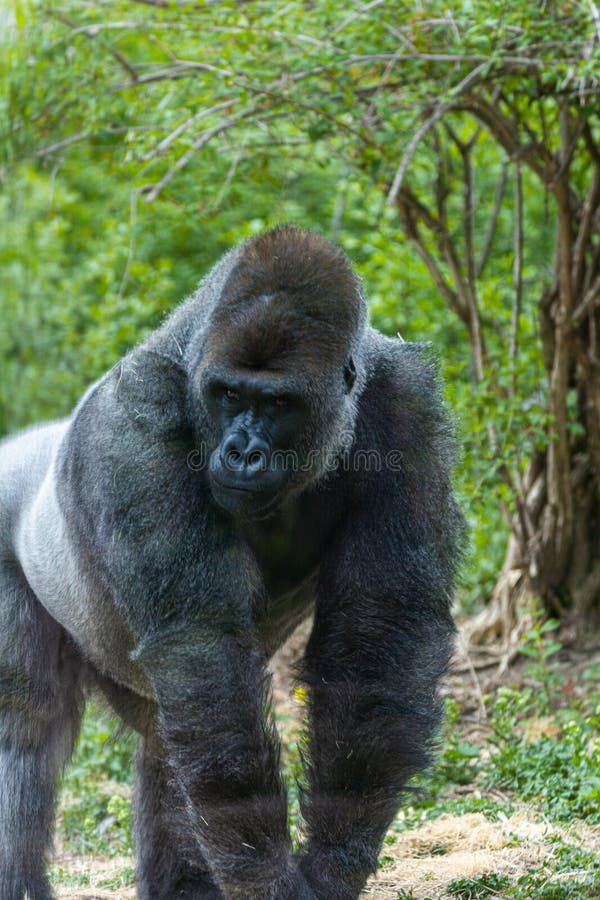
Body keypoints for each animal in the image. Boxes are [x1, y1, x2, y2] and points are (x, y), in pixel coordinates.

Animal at [0, 225, 463, 899]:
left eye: (279, 403)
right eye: (229, 395)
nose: (243, 452)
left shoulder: (407, 410)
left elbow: (381, 632)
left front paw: (333, 862)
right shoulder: (134, 425)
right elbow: (203, 647)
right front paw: (273, 878)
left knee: (167, 742)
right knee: (27, 727)